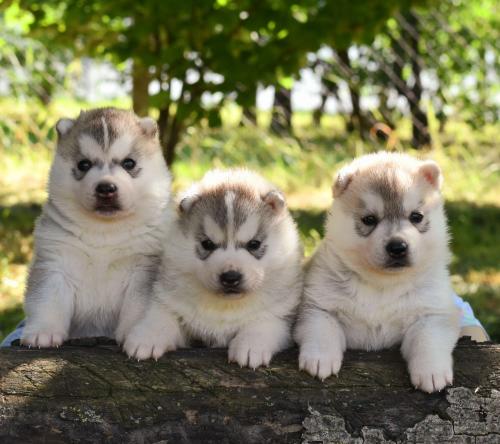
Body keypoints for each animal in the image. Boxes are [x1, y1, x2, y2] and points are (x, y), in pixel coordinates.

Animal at [21, 107, 172, 346]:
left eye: (129, 163)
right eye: (84, 164)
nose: (106, 188)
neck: (105, 232)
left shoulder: (143, 268)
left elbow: (138, 306)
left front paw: (137, 333)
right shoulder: (55, 263)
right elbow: (47, 299)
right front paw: (43, 331)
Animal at [124, 168, 304, 366]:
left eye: (254, 244)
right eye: (208, 244)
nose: (231, 277)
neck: (224, 307)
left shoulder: (280, 313)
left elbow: (263, 322)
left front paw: (251, 346)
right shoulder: (174, 305)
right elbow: (162, 316)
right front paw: (146, 337)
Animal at [292, 152, 460, 392]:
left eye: (416, 216)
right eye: (369, 219)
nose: (397, 247)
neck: (382, 285)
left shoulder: (434, 312)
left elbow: (429, 338)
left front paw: (431, 371)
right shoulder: (318, 305)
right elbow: (322, 328)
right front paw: (320, 358)